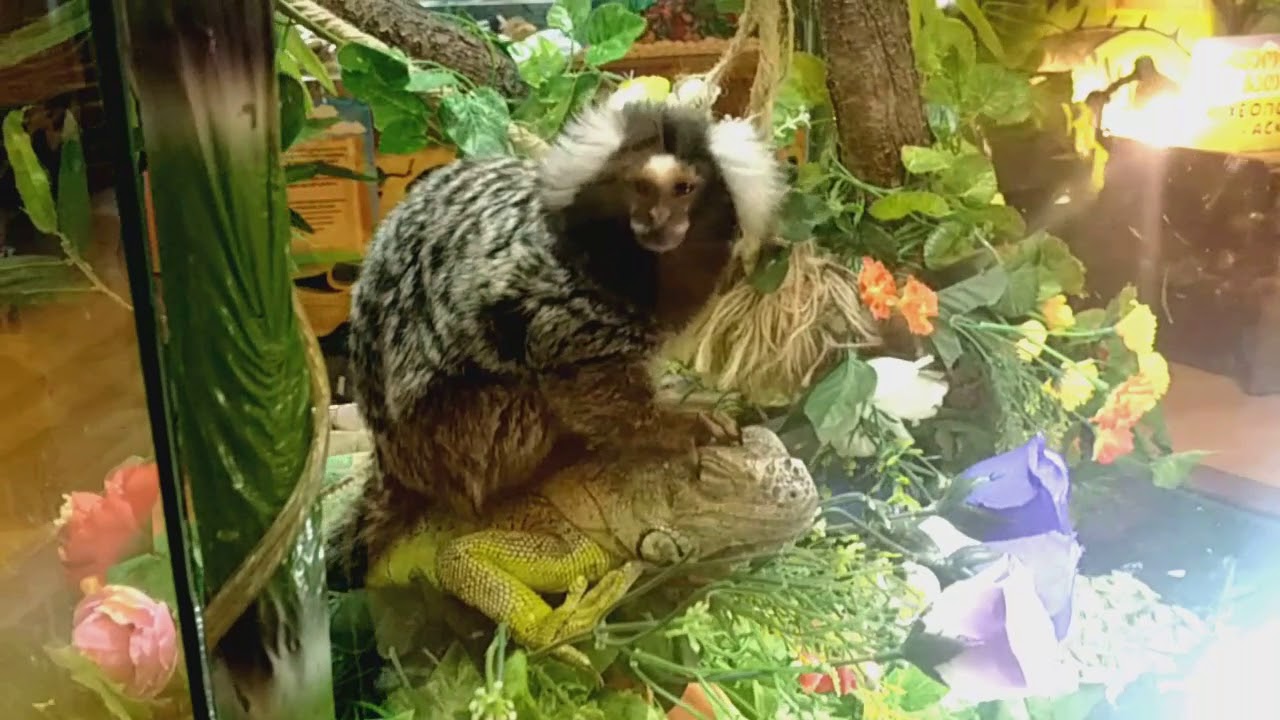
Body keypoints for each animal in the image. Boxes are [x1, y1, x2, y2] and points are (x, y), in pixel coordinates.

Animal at [340, 101, 786, 568]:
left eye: (684, 189)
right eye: (642, 187)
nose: (658, 221)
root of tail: (390, 459)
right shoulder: (550, 298)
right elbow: (576, 380)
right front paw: (677, 425)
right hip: (451, 436)